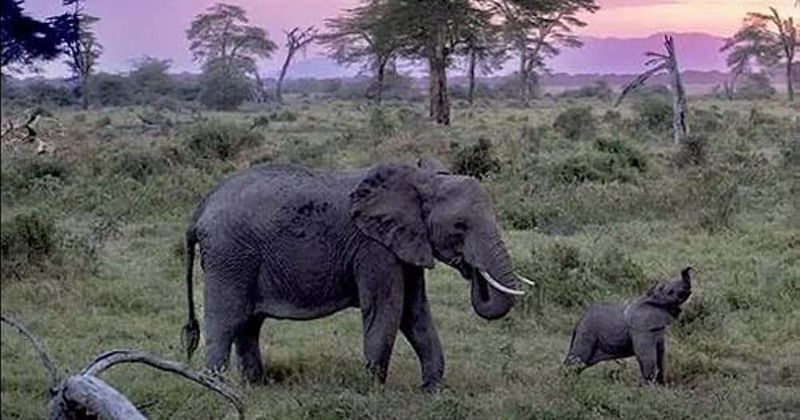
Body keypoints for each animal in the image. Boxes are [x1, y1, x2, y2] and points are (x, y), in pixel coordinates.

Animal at [180, 158, 534, 391]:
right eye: (460, 226)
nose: (472, 270)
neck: (421, 179)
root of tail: (201, 209)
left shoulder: (403, 244)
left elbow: (415, 313)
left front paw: (432, 392)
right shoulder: (373, 248)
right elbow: (389, 310)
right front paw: (372, 391)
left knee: (249, 323)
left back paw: (257, 387)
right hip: (230, 257)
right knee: (227, 321)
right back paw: (214, 389)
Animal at [563, 266, 693, 384]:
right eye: (670, 291)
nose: (690, 267)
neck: (648, 297)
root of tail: (578, 322)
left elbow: (661, 357)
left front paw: (661, 386)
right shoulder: (641, 330)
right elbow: (647, 358)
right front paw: (651, 388)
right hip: (587, 334)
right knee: (577, 361)